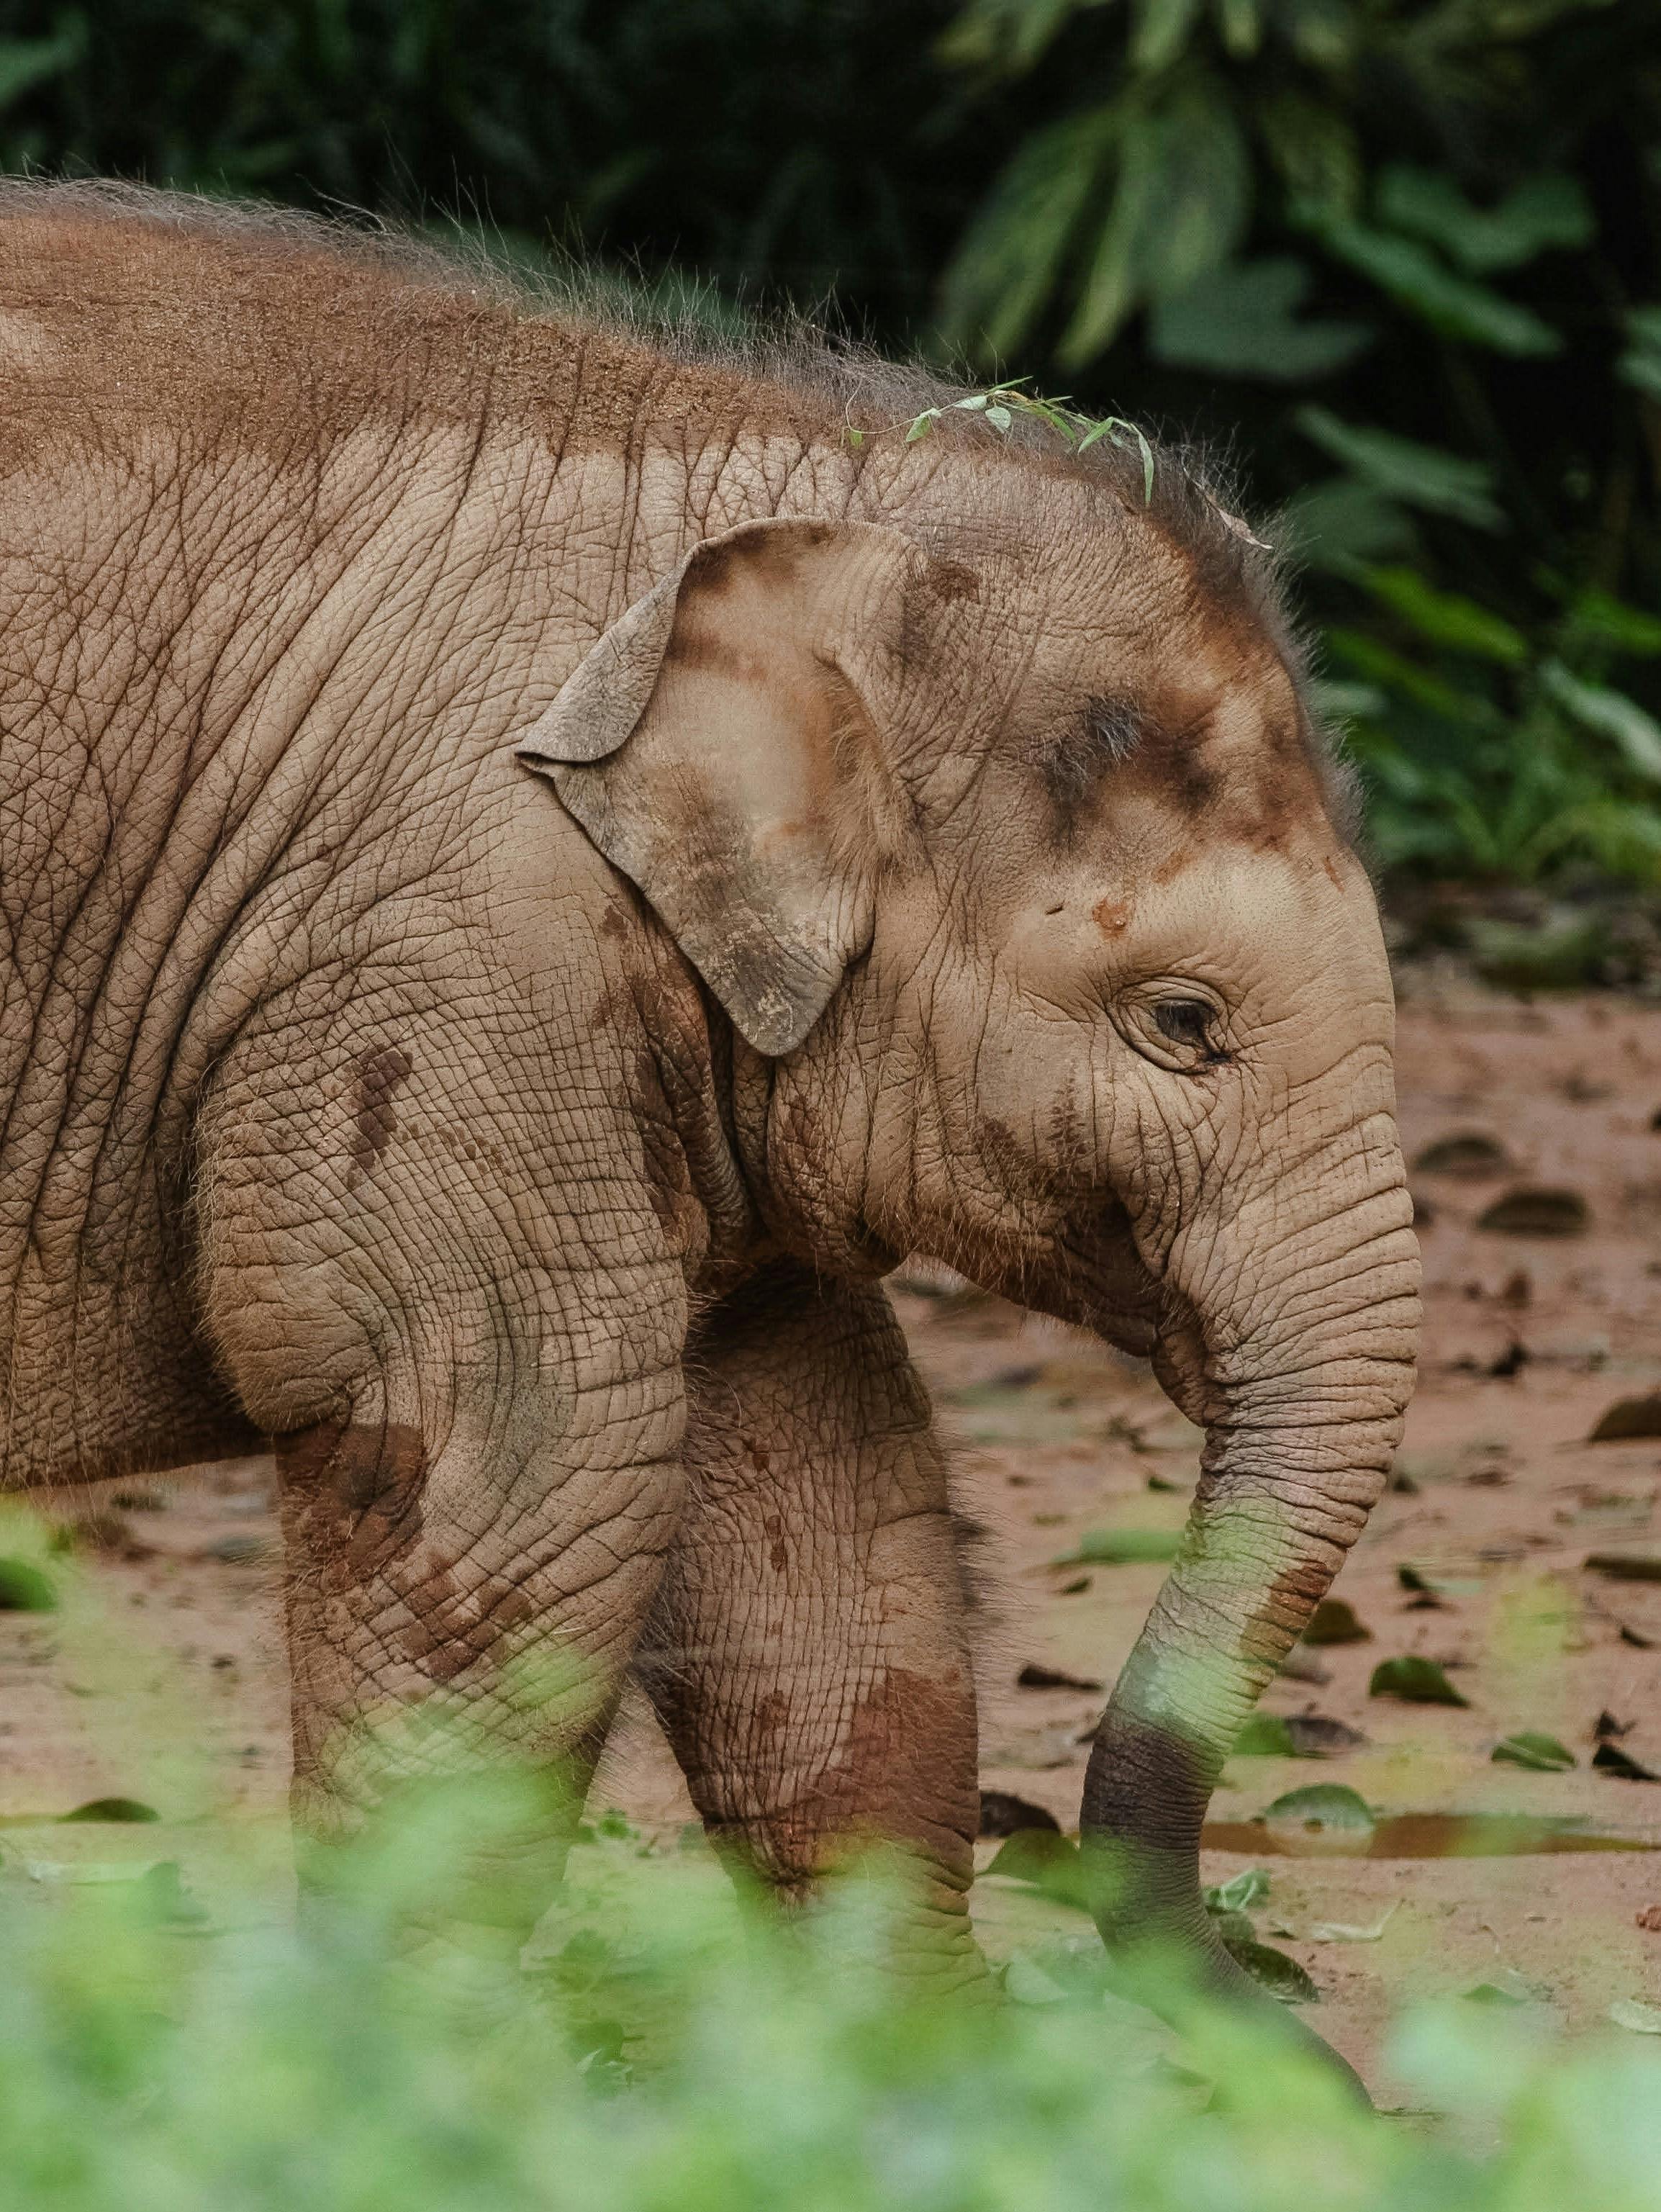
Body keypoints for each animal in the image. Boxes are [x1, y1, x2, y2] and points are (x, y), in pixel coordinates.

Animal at [0, 185, 1419, 2078]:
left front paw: (929, 2075)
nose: (1318, 2060)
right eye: (1181, 1024)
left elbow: (817, 1496)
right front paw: (414, 2086)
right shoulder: (449, 956)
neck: (805, 488)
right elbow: (516, 1464)